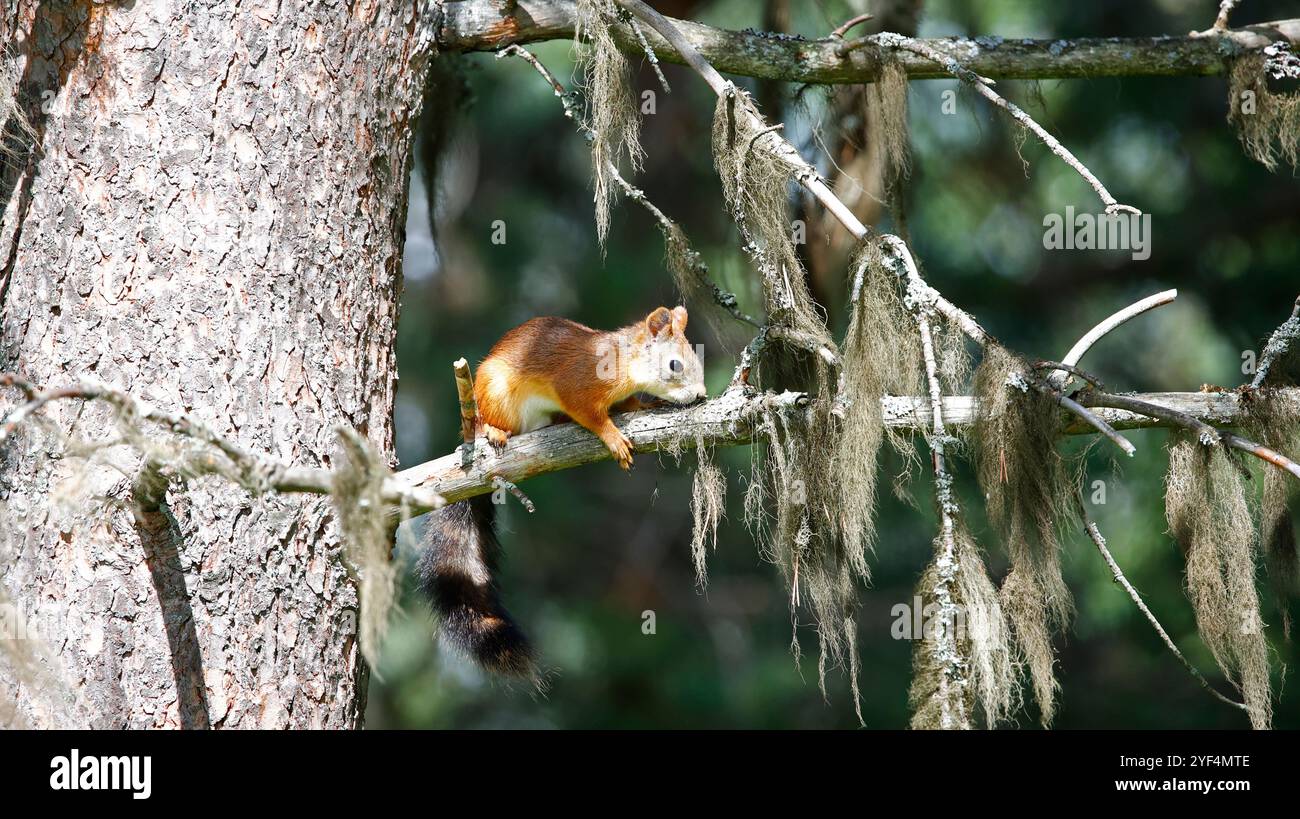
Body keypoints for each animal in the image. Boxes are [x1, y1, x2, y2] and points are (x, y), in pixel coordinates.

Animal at [418, 305, 707, 683]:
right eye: (675, 365)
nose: (702, 395)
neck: (624, 360)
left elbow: (626, 403)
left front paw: (639, 406)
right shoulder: (578, 384)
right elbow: (589, 413)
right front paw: (612, 436)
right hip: (493, 394)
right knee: (486, 423)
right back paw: (493, 431)